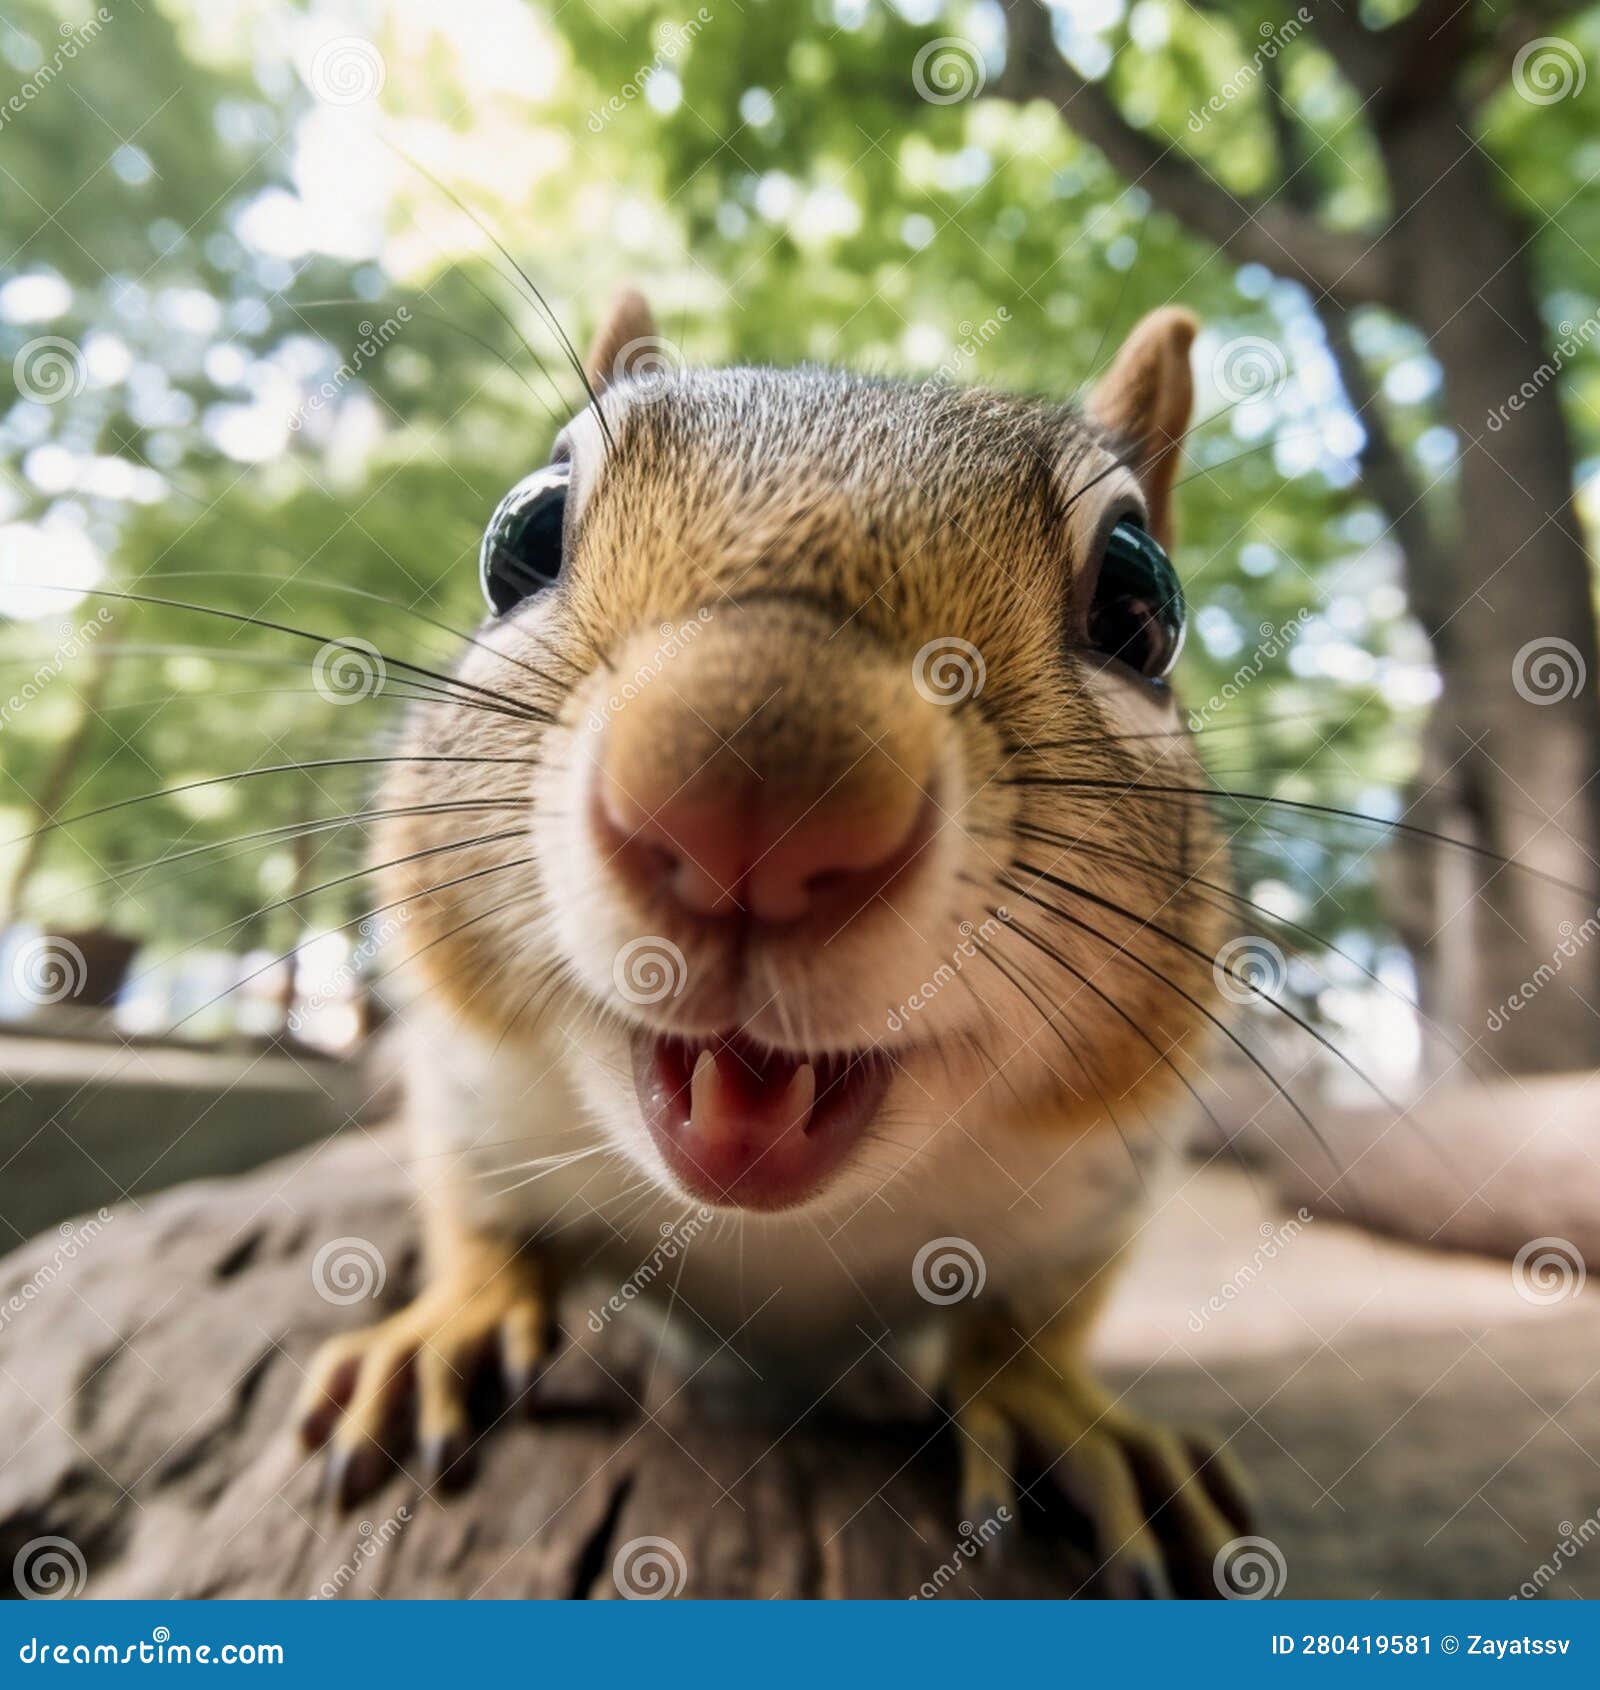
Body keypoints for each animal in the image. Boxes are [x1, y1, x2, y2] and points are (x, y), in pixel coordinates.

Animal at [294, 289, 1251, 1598]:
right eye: (522, 537)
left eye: (1138, 597)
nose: (743, 804)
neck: (777, 1241)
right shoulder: (470, 1088)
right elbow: (480, 1219)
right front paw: (456, 1318)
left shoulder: (1101, 1179)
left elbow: (1036, 1321)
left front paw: (1063, 1411)